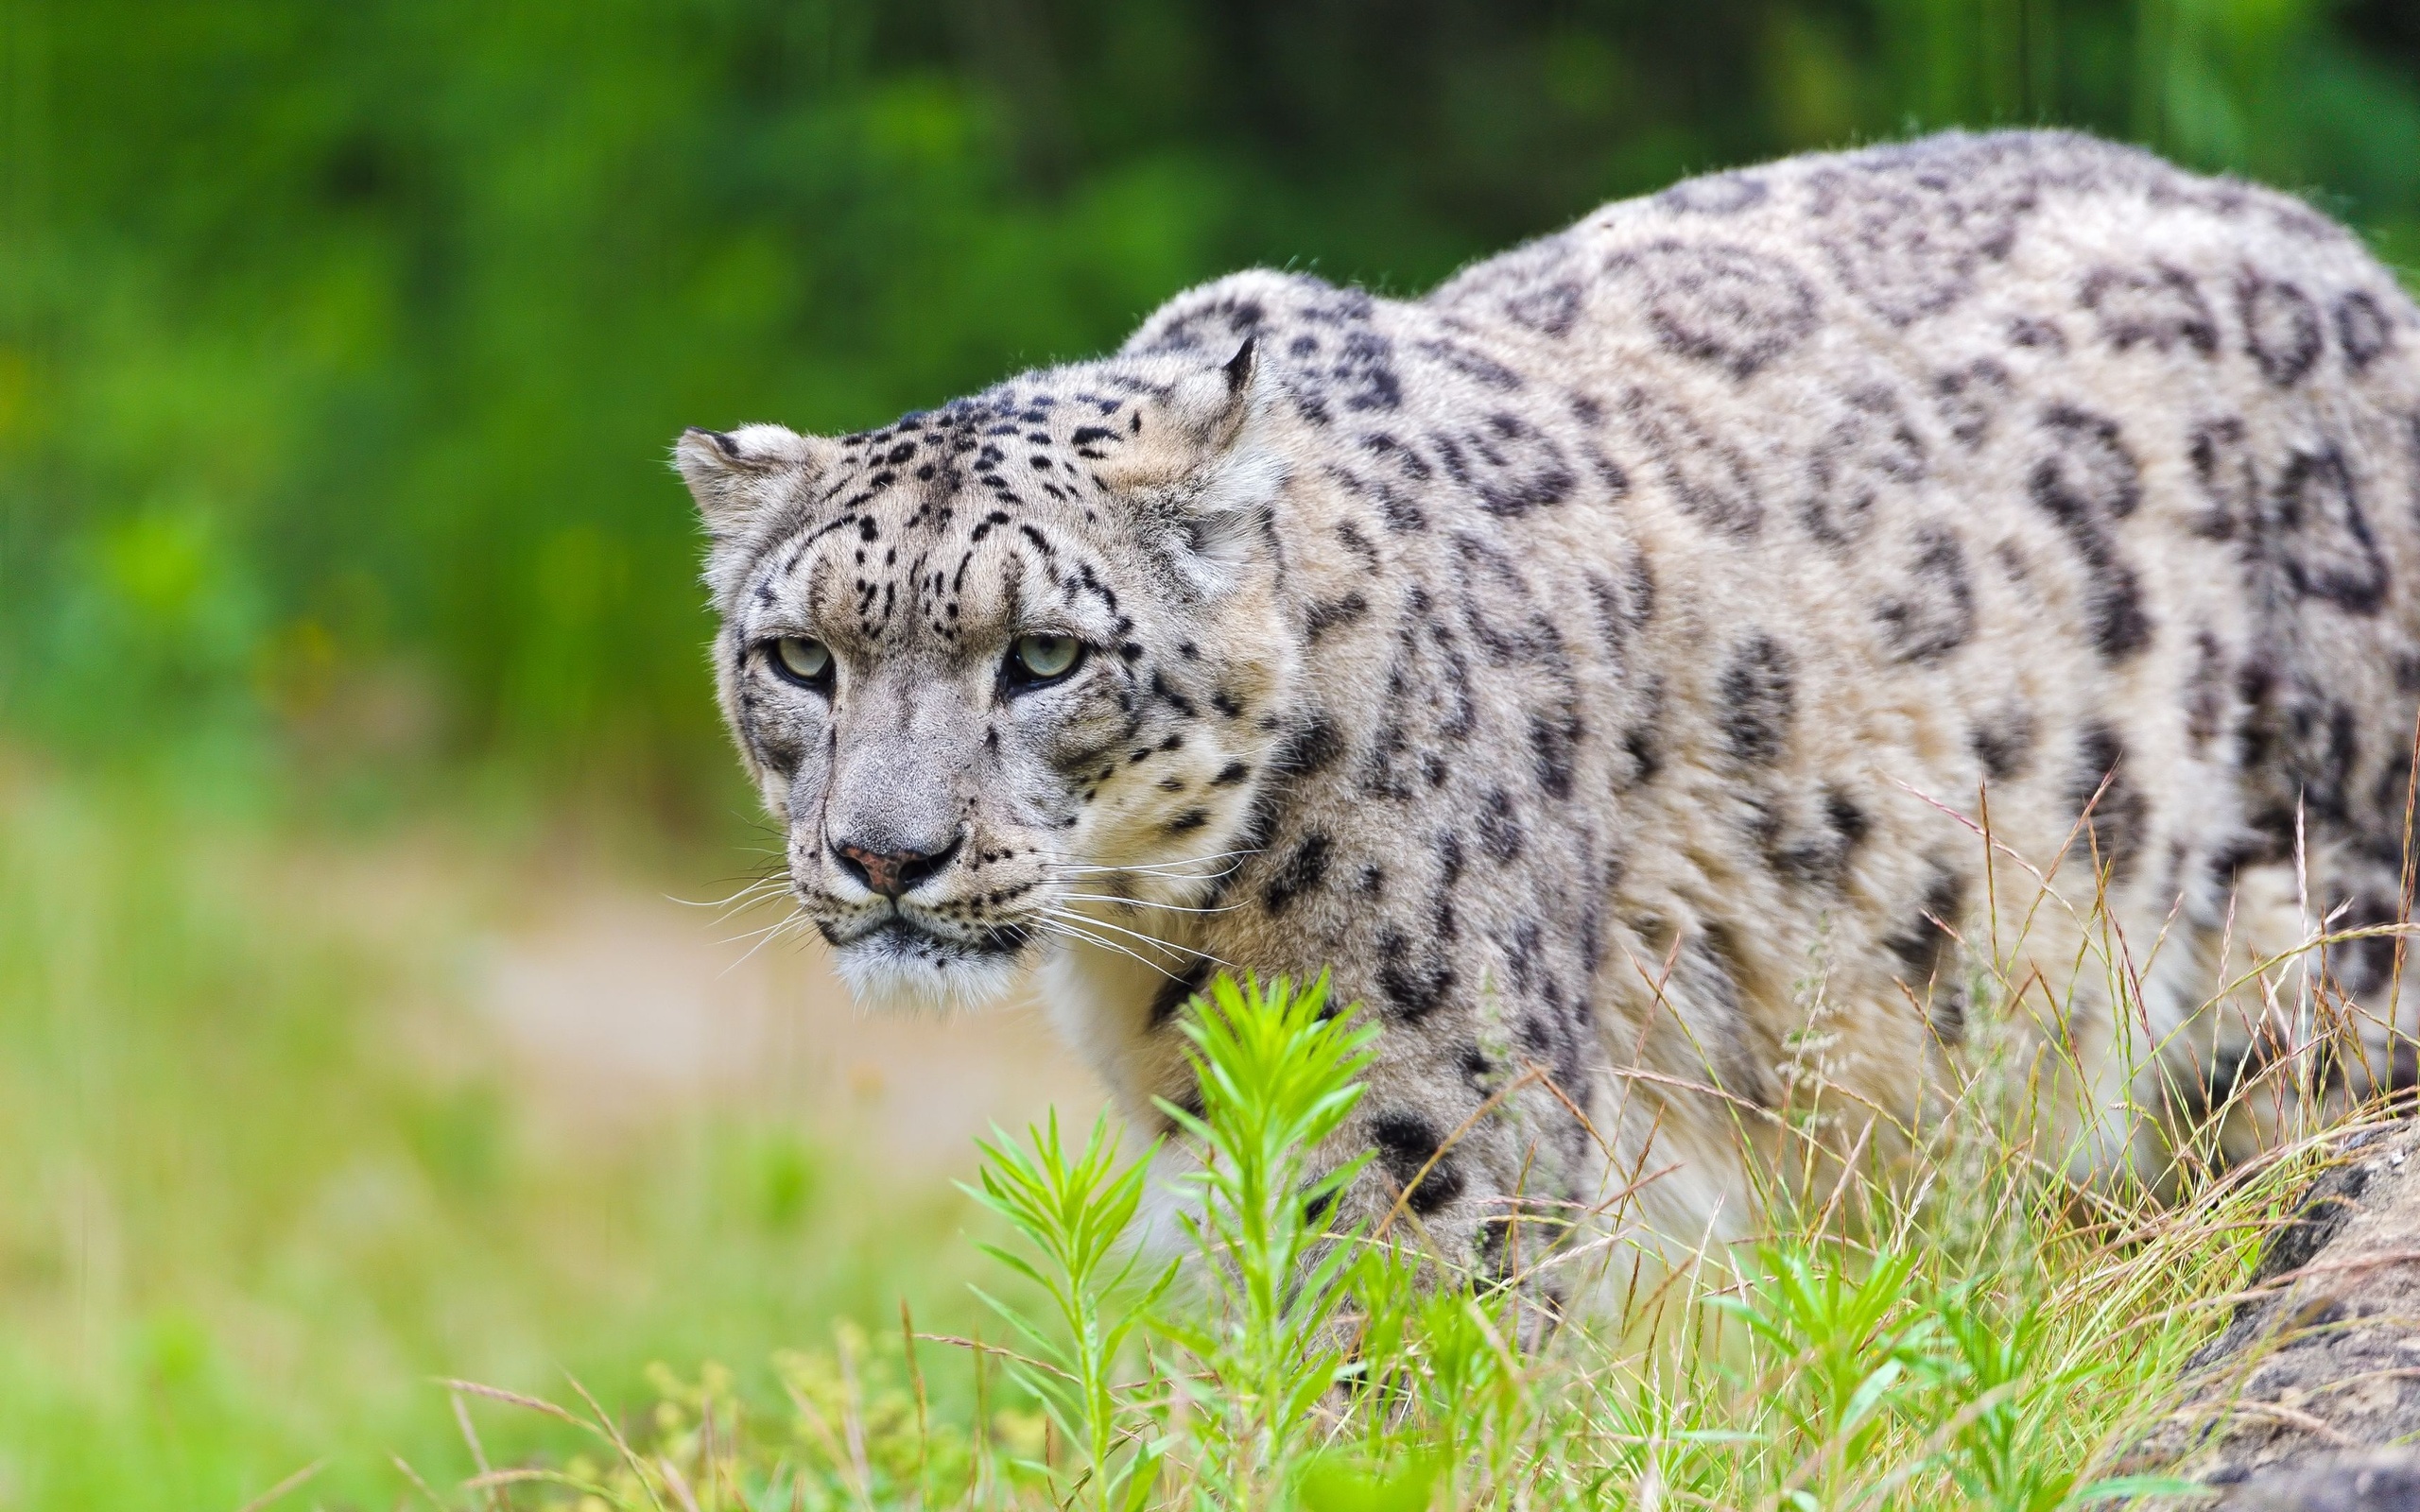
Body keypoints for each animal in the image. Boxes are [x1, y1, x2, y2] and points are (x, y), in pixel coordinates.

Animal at [675, 129, 2420, 1310]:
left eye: (1041, 655)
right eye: (802, 659)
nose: (885, 854)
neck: (1158, 951)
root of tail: (2358, 270)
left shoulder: (1424, 1130)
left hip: (2326, 945)